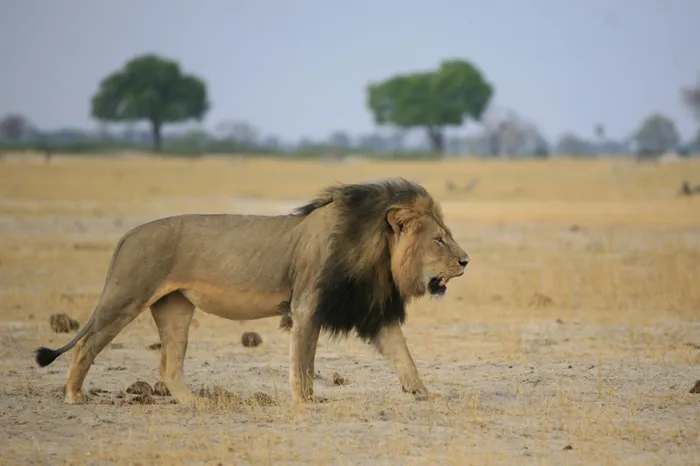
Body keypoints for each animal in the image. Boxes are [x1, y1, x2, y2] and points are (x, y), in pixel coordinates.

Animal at [34, 178, 469, 406]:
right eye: (440, 240)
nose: (466, 261)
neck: (376, 251)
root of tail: (128, 234)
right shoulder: (307, 306)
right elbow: (304, 362)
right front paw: (306, 402)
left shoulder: (373, 312)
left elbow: (404, 357)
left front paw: (425, 394)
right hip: (126, 297)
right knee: (85, 344)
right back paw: (74, 395)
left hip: (175, 308)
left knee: (169, 365)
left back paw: (196, 403)